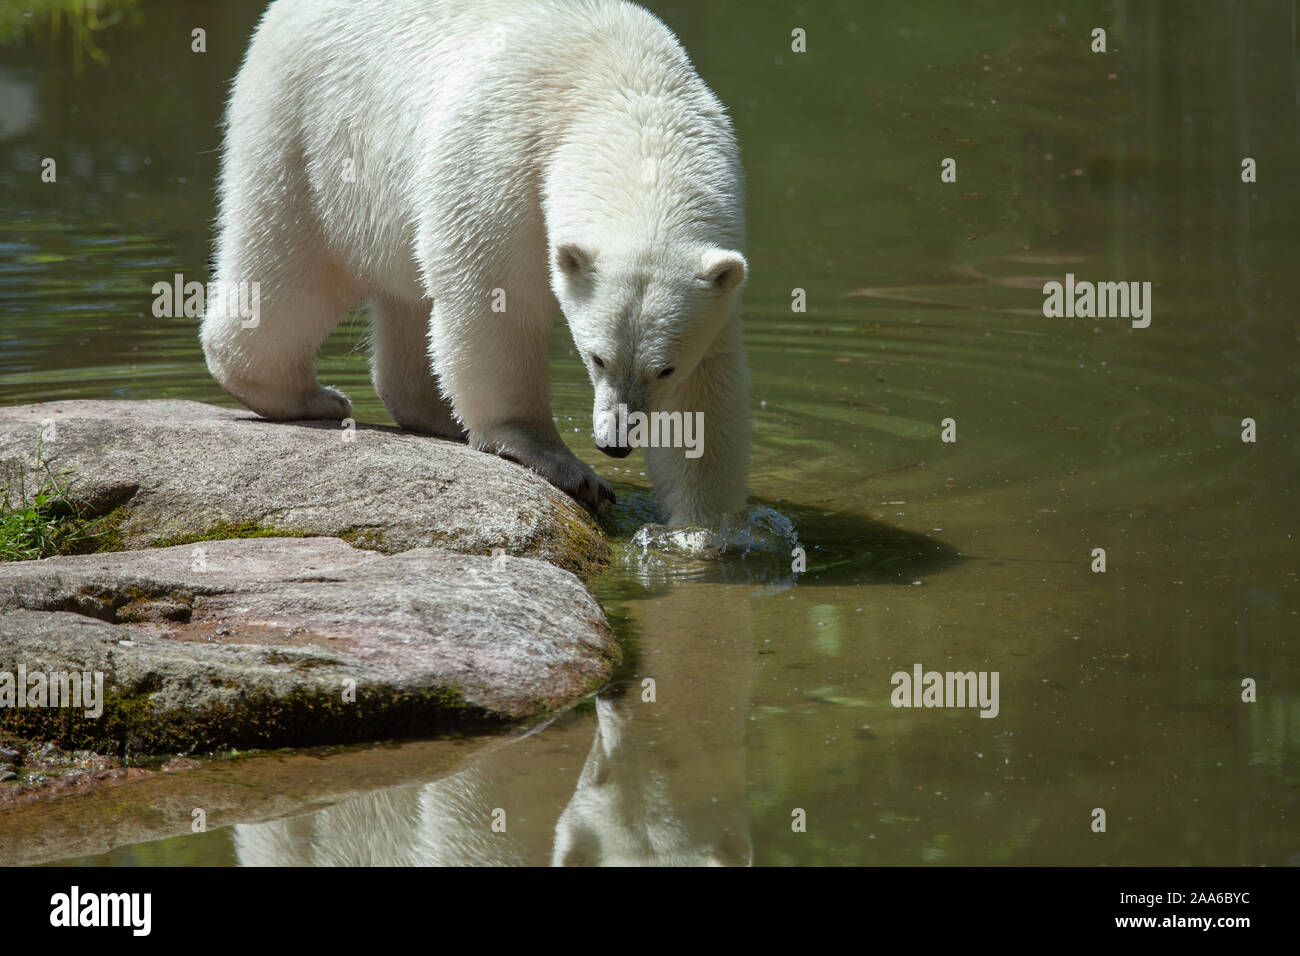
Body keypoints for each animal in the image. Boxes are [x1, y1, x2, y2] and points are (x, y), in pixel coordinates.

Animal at [200, 0, 750, 528]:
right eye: (597, 358)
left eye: (665, 368)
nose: (614, 444)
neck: (620, 85)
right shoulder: (505, 153)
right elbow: (494, 300)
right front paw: (567, 466)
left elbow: (705, 387)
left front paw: (704, 531)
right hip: (309, 127)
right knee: (294, 262)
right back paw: (308, 395)